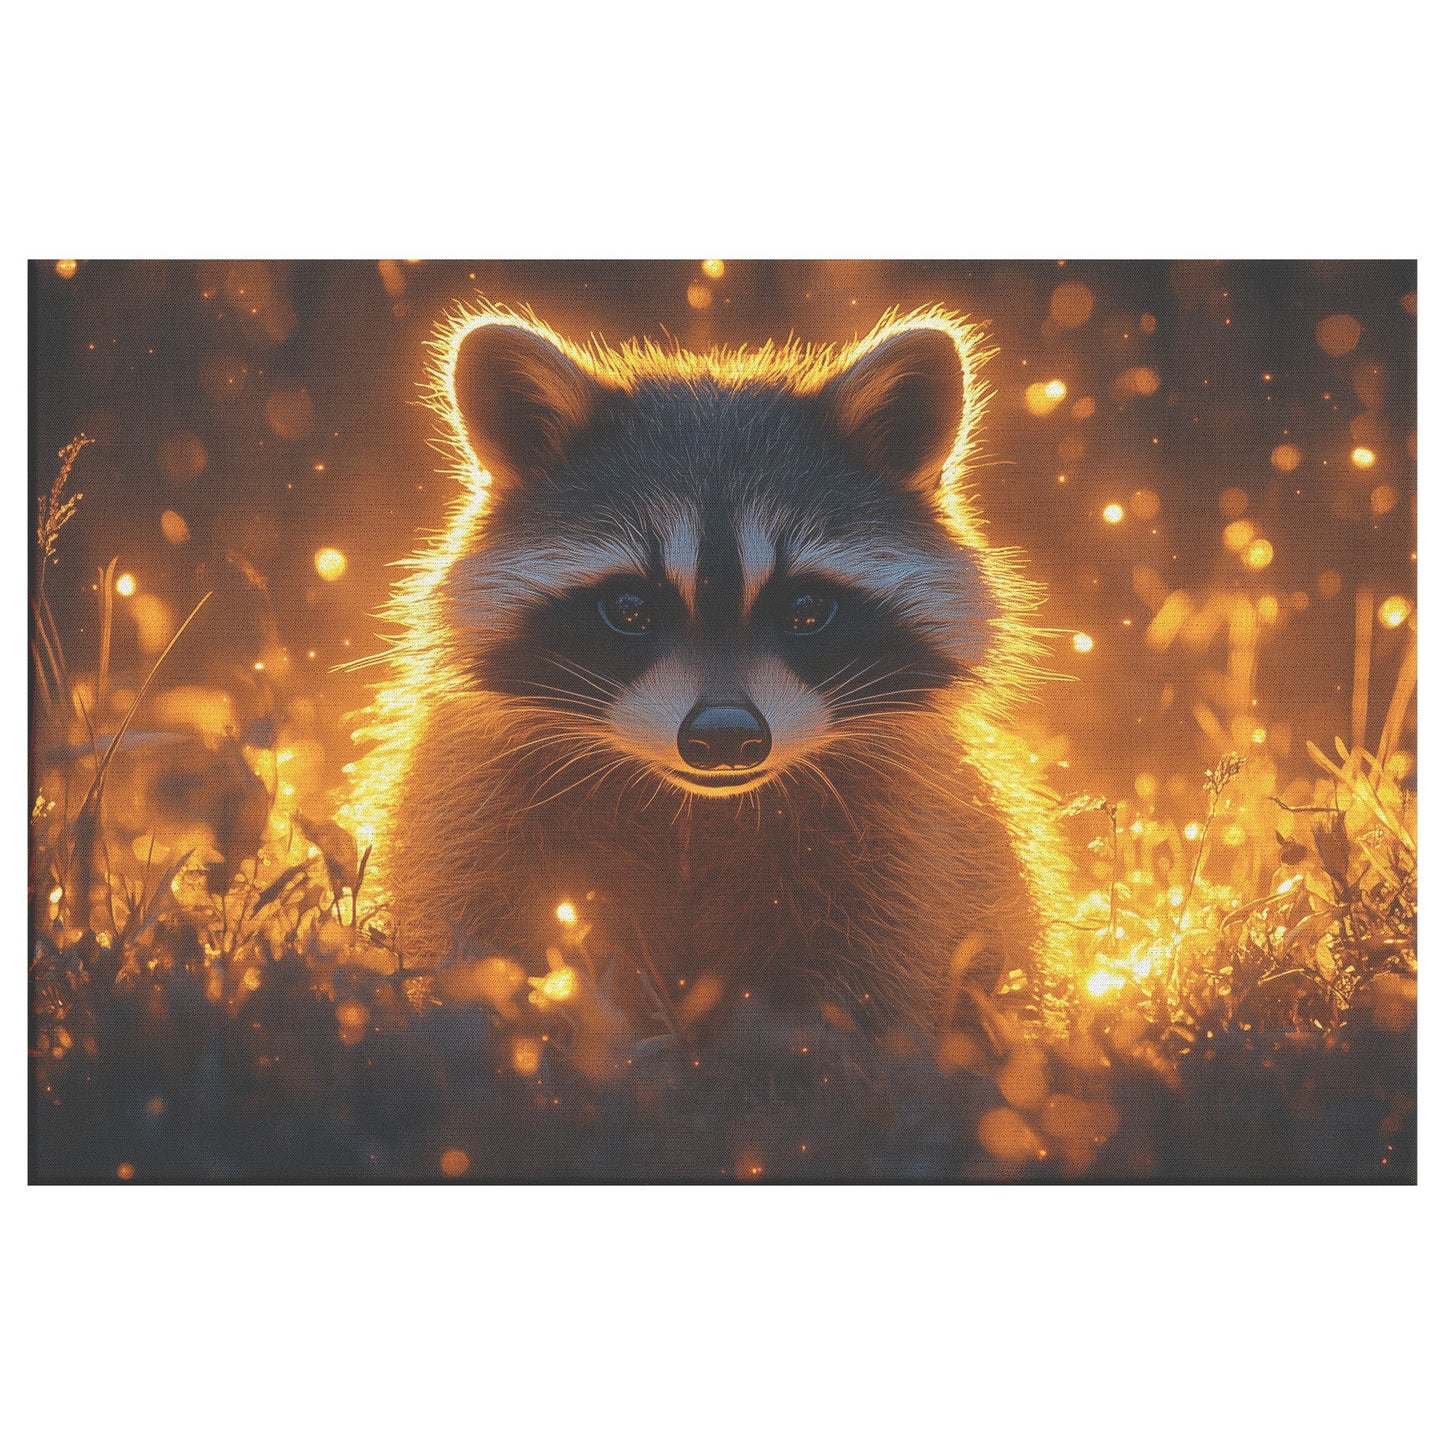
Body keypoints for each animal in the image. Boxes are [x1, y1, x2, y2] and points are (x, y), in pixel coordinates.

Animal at [348, 302, 1069, 1037]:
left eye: (806, 610)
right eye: (630, 609)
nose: (724, 737)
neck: (701, 811)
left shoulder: (911, 840)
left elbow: (877, 983)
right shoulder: (473, 810)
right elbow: (488, 937)